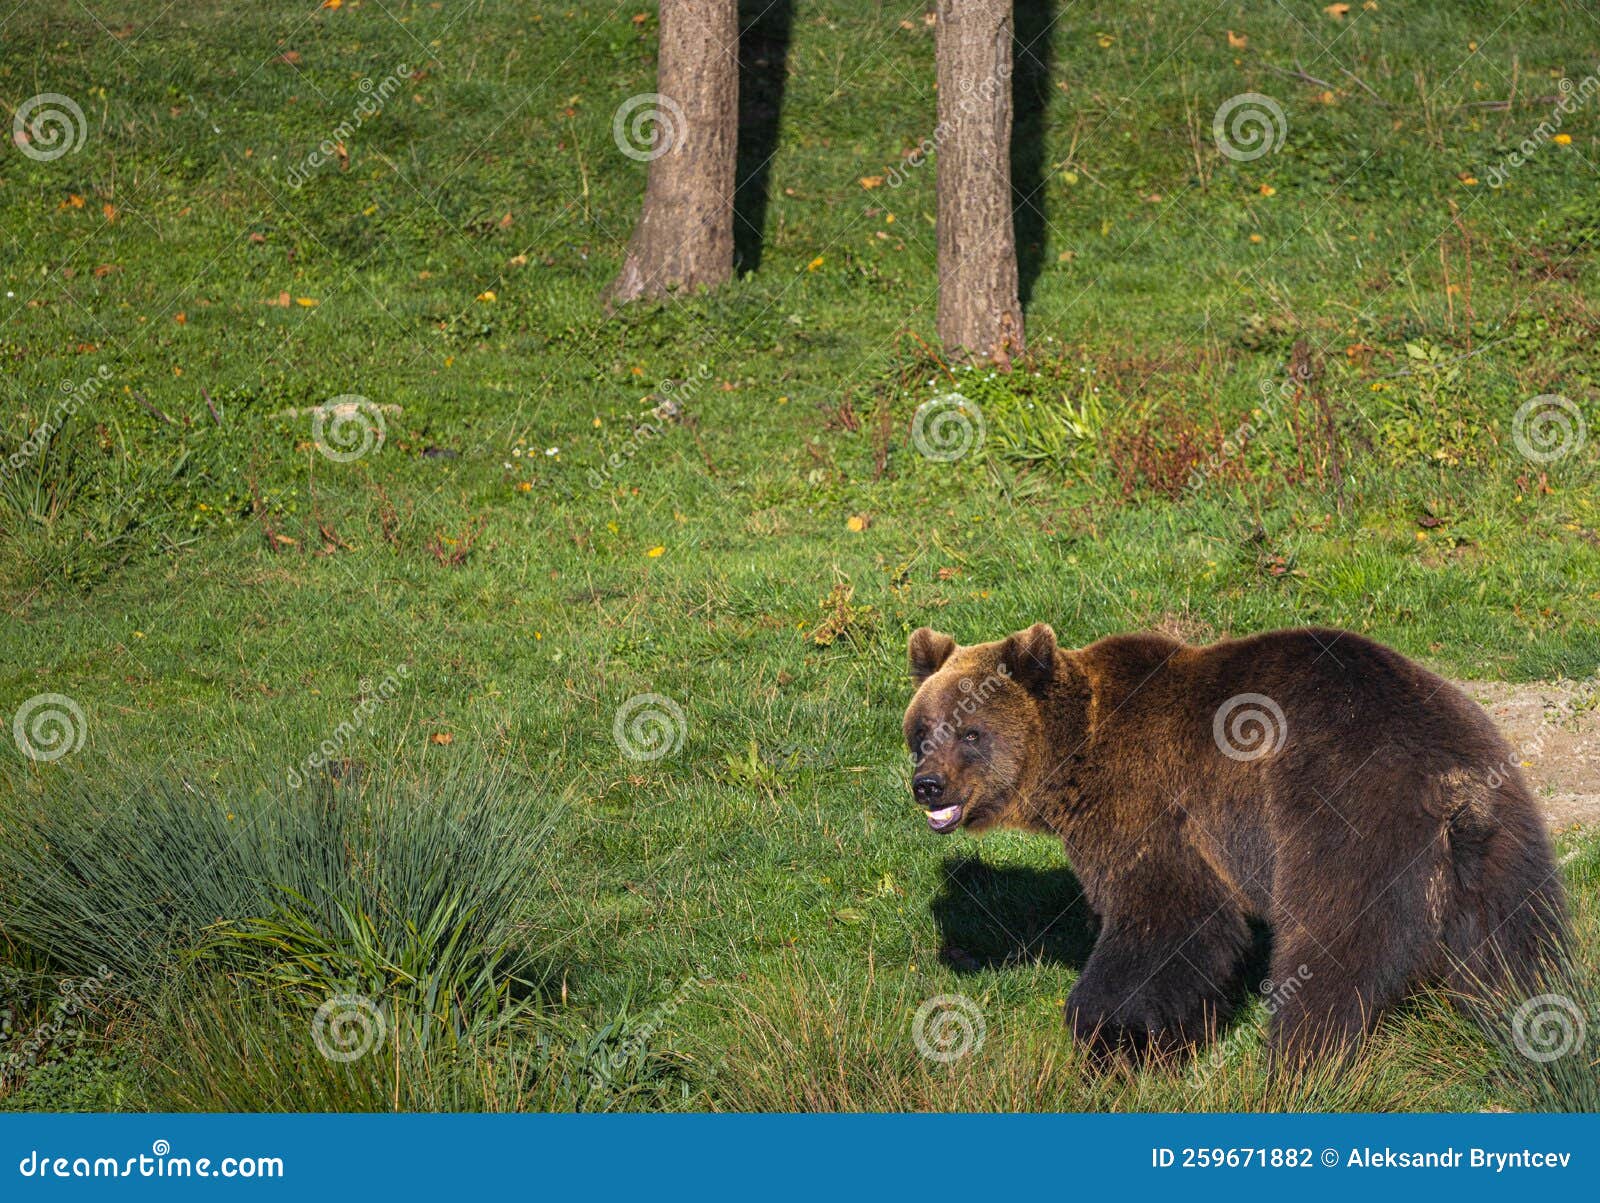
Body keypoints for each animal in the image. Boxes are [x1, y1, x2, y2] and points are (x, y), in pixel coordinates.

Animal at [903, 622, 1569, 1062]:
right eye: (921, 731)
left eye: (971, 732)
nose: (927, 785)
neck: (1075, 759)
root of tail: (1455, 789)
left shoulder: (1152, 805)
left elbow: (1167, 920)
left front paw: (1109, 1031)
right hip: (1508, 845)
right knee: (1521, 952)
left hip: (1344, 825)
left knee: (1330, 950)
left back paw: (1295, 1061)